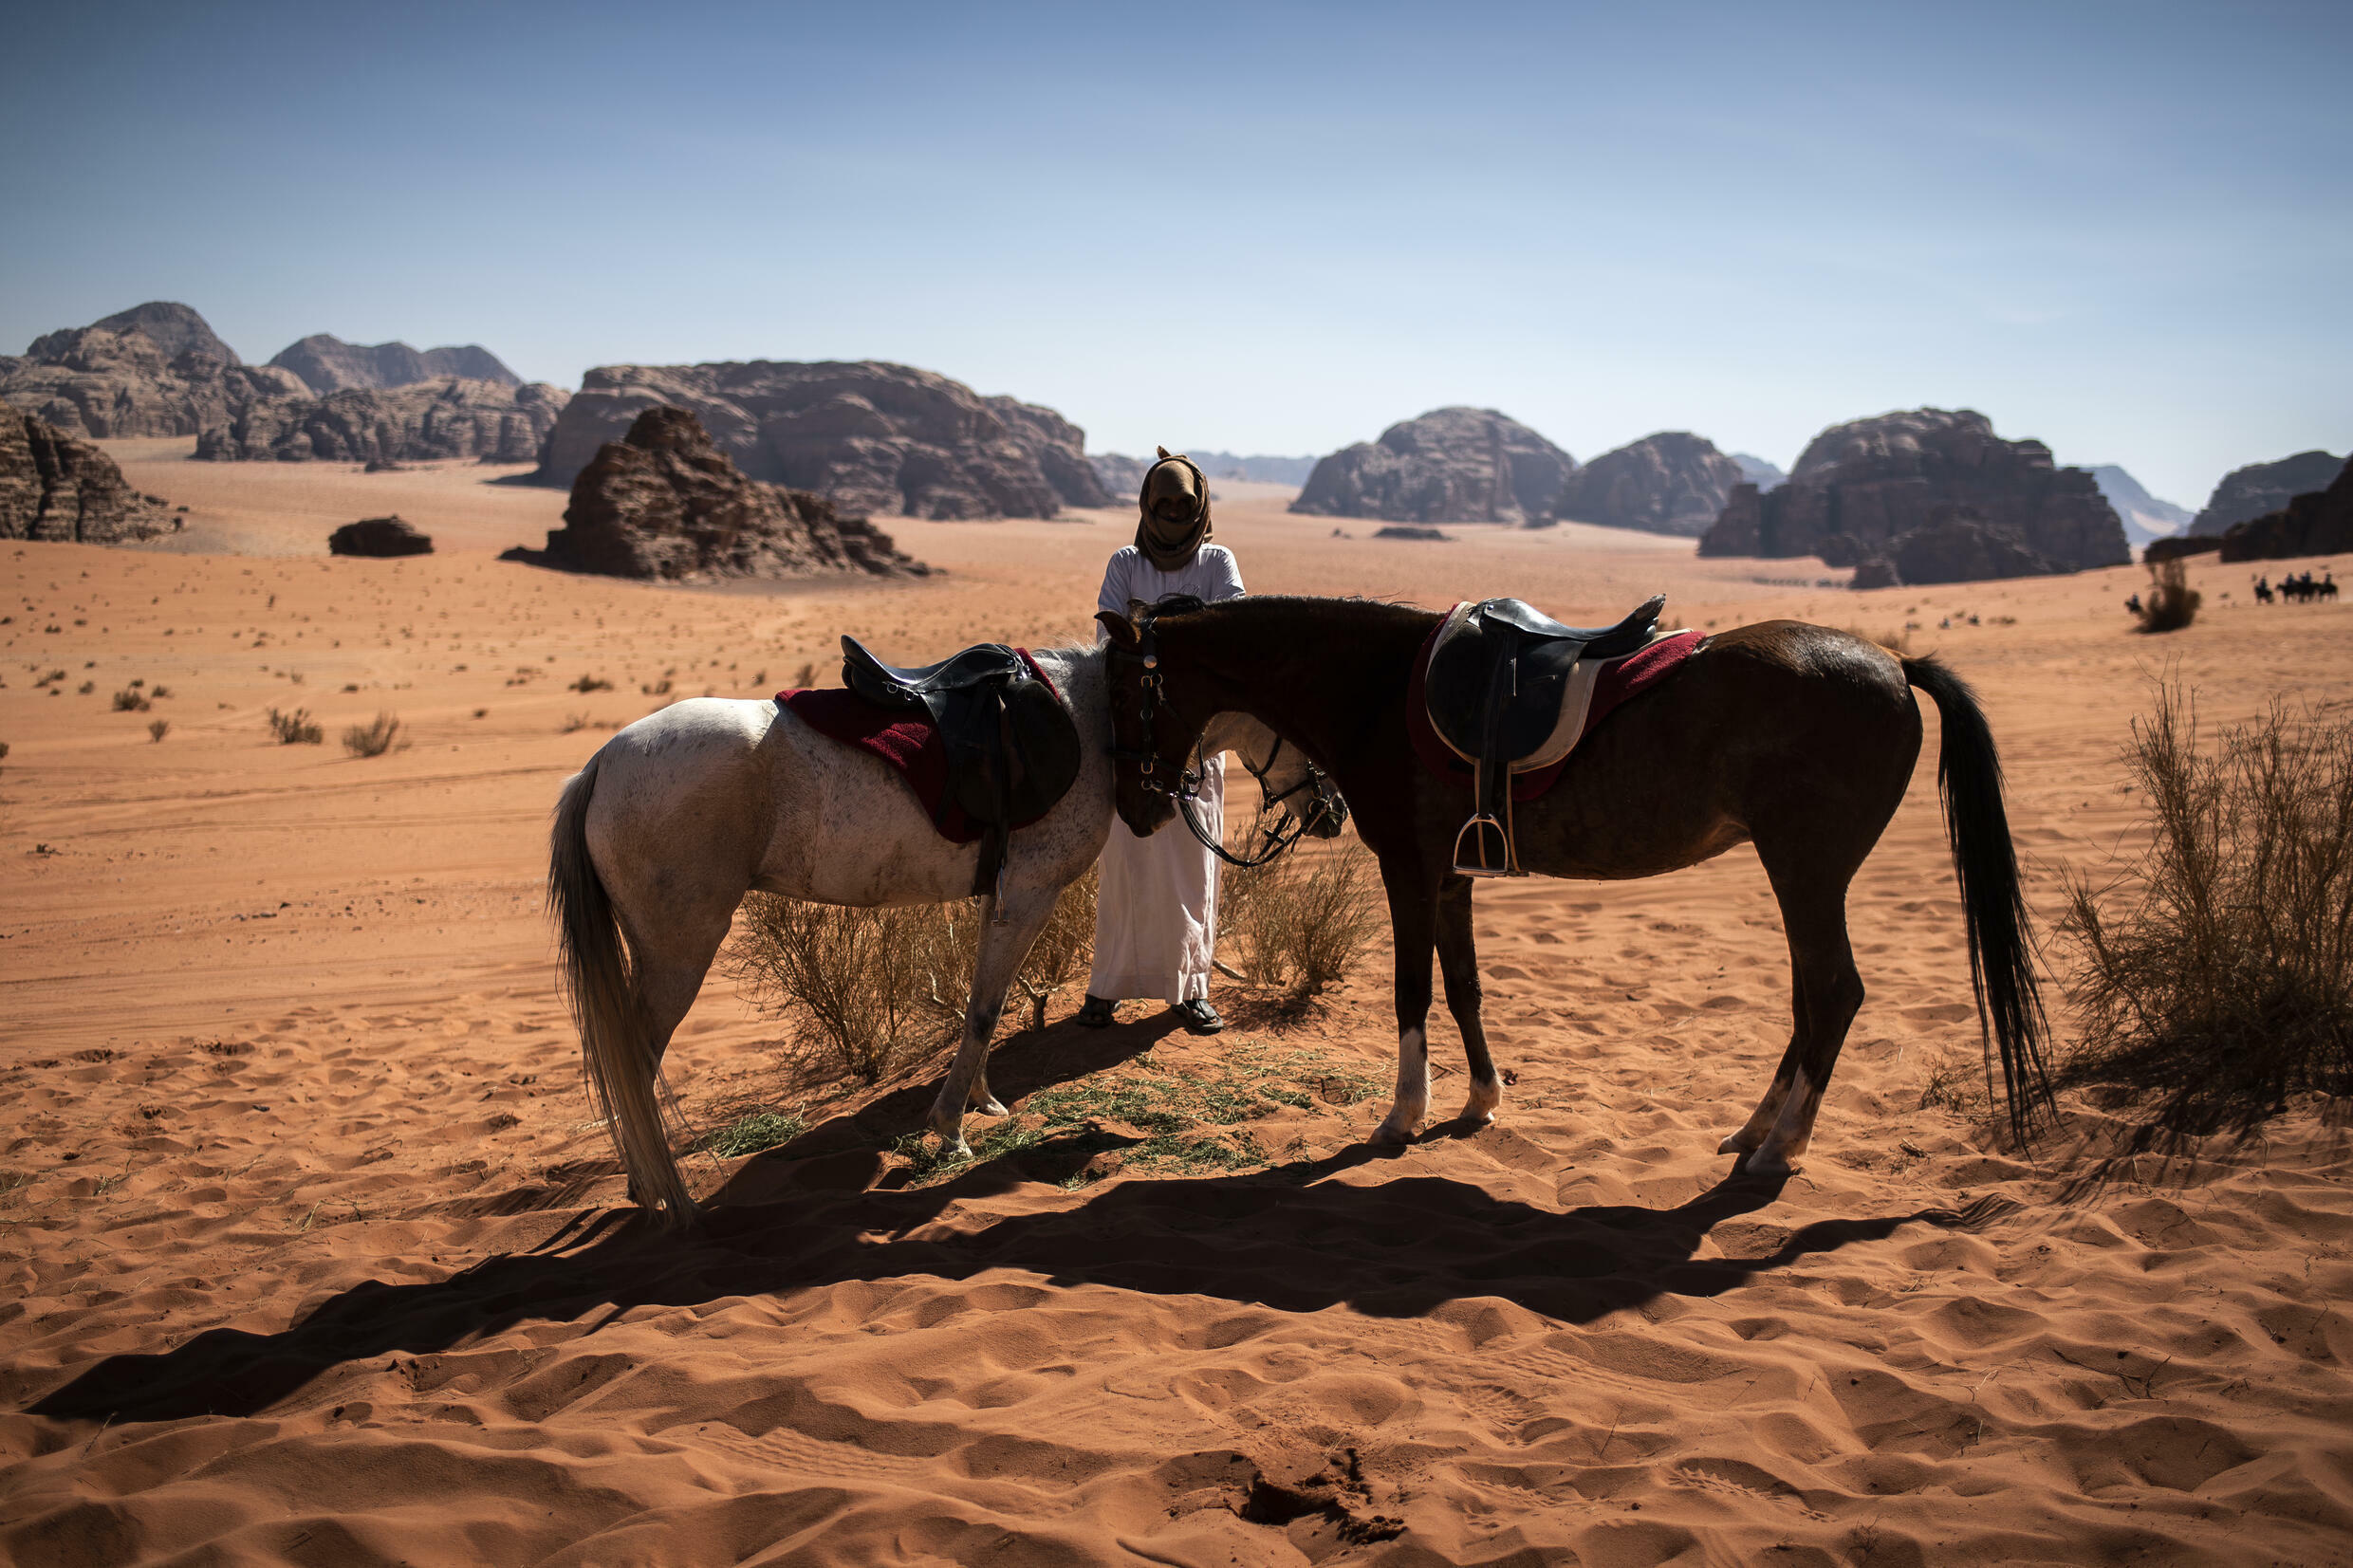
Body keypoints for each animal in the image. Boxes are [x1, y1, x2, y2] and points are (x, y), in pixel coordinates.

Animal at [548, 648, 1338, 1225]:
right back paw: (659, 1190)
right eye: (1301, 721)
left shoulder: (1001, 897)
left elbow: (984, 1005)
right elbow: (986, 1008)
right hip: (678, 950)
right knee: (634, 1062)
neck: (1097, 720)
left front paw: (981, 1102)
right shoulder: (1030, 895)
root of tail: (603, 763)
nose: (1333, 809)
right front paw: (950, 1130)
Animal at [1094, 595, 2051, 1179]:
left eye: (1126, 691)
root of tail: (1896, 664)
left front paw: (1403, 1115)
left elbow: (1410, 991)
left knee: (1834, 992)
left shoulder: (1408, 868)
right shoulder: (1451, 873)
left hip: (1806, 871)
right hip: (1803, 878)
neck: (1375, 687)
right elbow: (1464, 986)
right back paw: (1753, 1129)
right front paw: (1481, 1100)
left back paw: (1782, 1145)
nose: (1136, 804)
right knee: (1810, 998)